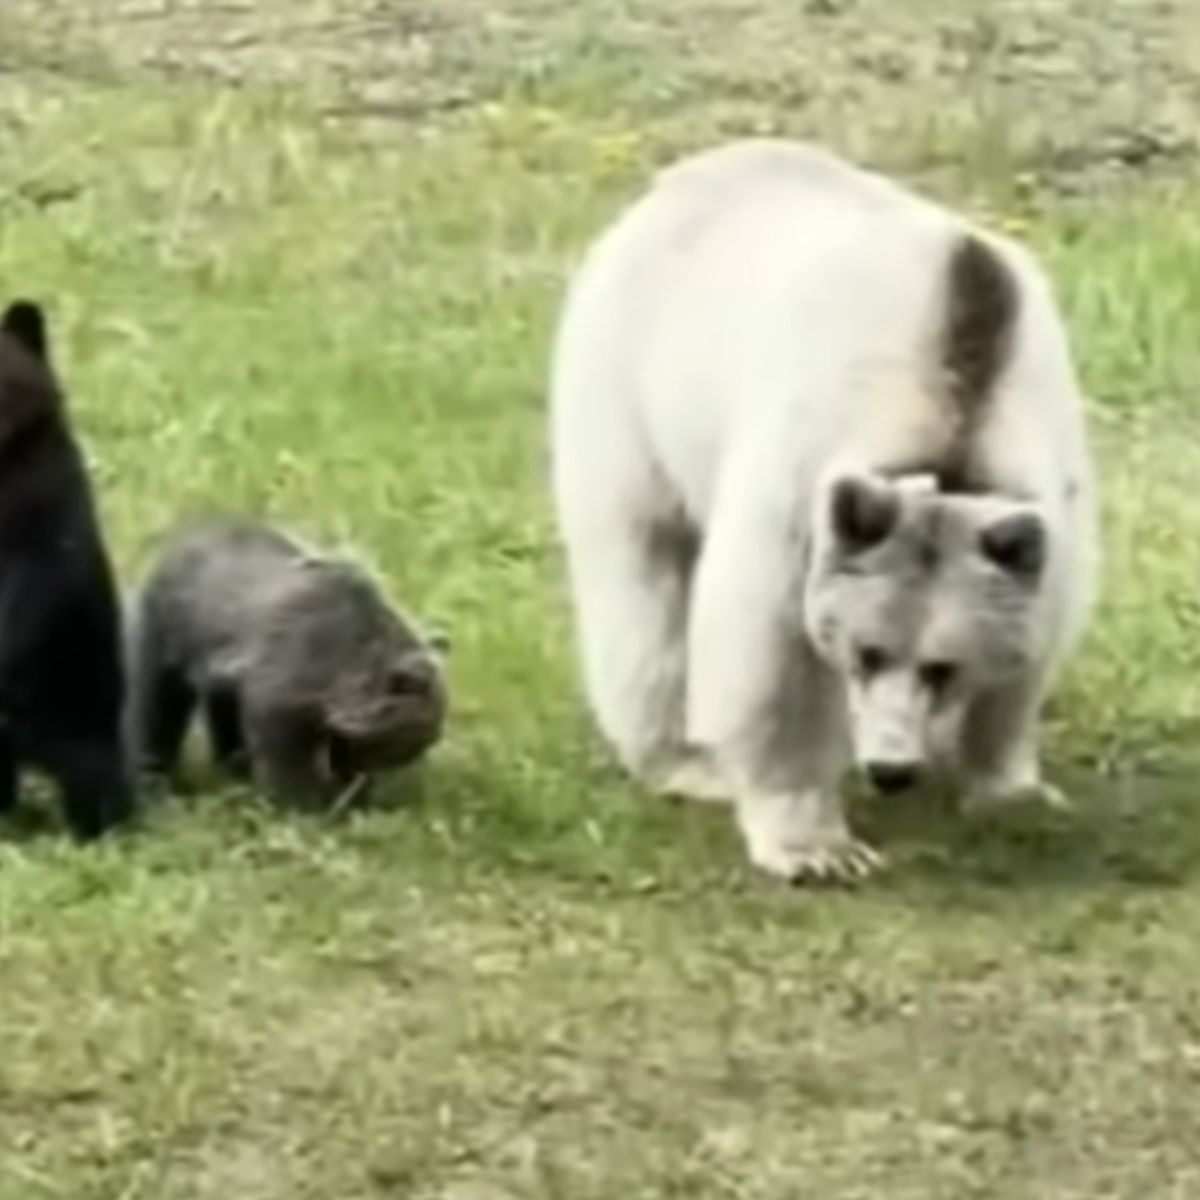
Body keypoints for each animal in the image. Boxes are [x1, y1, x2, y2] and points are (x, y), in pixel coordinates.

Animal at [123, 516, 450, 811]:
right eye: (378, 744)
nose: (358, 783)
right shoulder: (283, 701)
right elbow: (286, 759)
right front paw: (303, 810)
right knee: (159, 708)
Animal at [547, 138, 1099, 885]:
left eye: (944, 666)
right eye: (867, 653)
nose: (892, 769)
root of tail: (677, 181)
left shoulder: (1055, 491)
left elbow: (1033, 648)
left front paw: (1011, 786)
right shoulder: (800, 472)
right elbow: (769, 650)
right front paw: (816, 848)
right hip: (631, 396)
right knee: (643, 579)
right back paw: (684, 762)